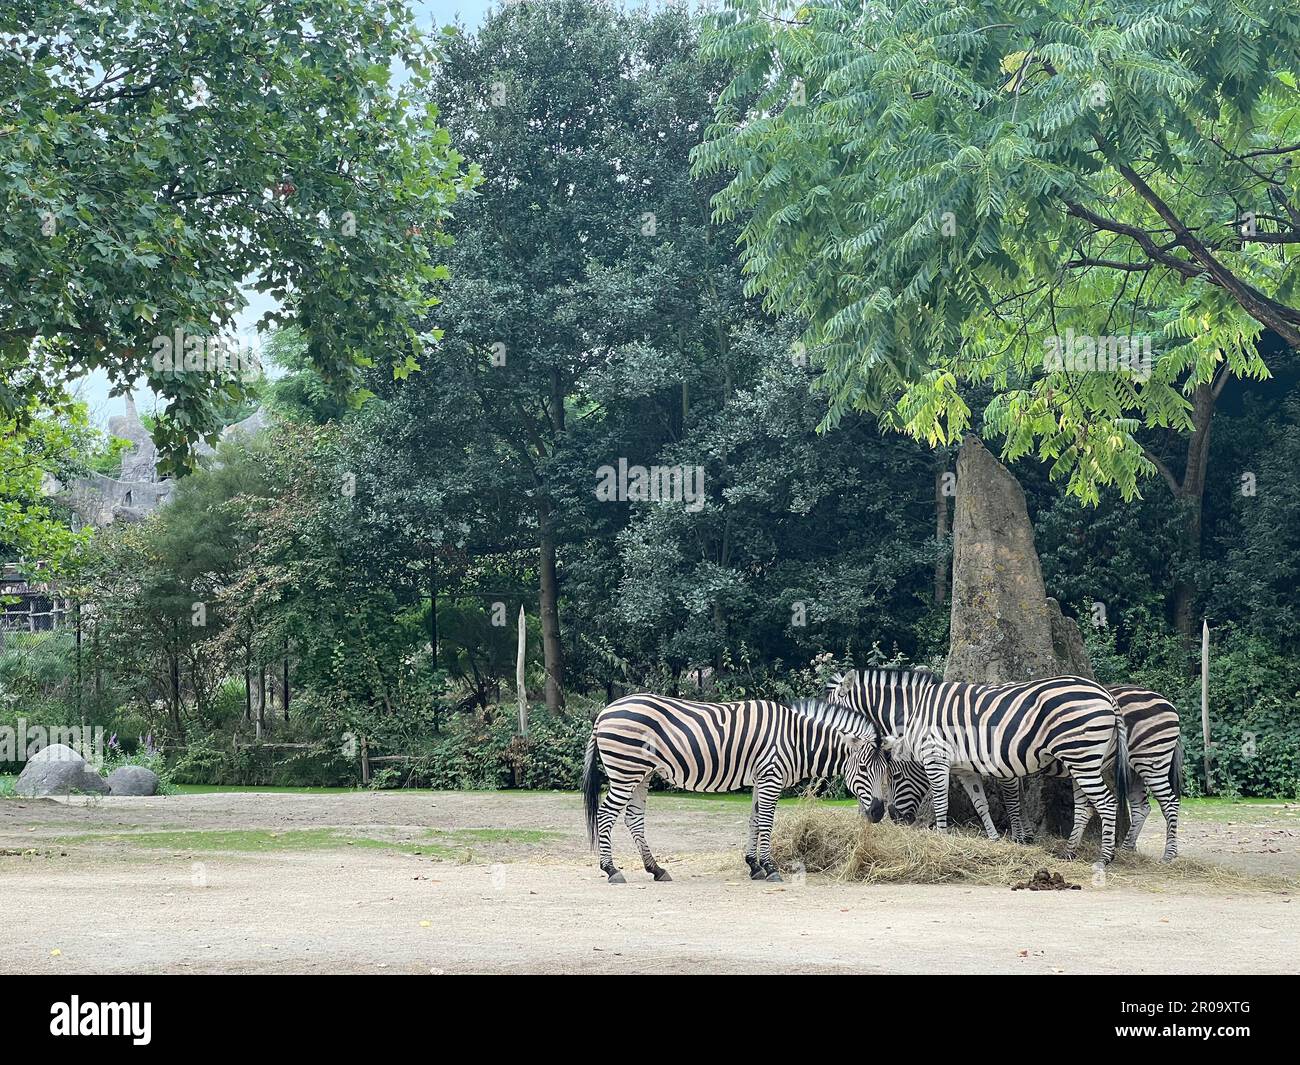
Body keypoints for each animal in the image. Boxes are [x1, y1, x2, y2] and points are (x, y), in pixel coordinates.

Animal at [582, 693, 888, 883]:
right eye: (863, 770)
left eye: (886, 771)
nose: (878, 813)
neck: (795, 740)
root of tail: (604, 712)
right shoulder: (771, 776)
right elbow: (766, 822)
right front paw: (770, 867)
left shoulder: (761, 778)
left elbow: (754, 820)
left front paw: (754, 865)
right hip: (626, 771)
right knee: (606, 815)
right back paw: (611, 870)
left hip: (641, 774)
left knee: (633, 818)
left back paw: (655, 869)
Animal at [825, 668, 1130, 863]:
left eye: (896, 775)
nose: (895, 817)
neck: (914, 711)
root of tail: (1106, 695)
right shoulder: (964, 768)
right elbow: (980, 803)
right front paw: (994, 840)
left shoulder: (936, 758)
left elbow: (941, 803)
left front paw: (942, 840)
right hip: (1083, 760)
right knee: (1085, 807)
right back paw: (1069, 852)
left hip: (1082, 757)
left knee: (1107, 803)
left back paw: (1105, 857)